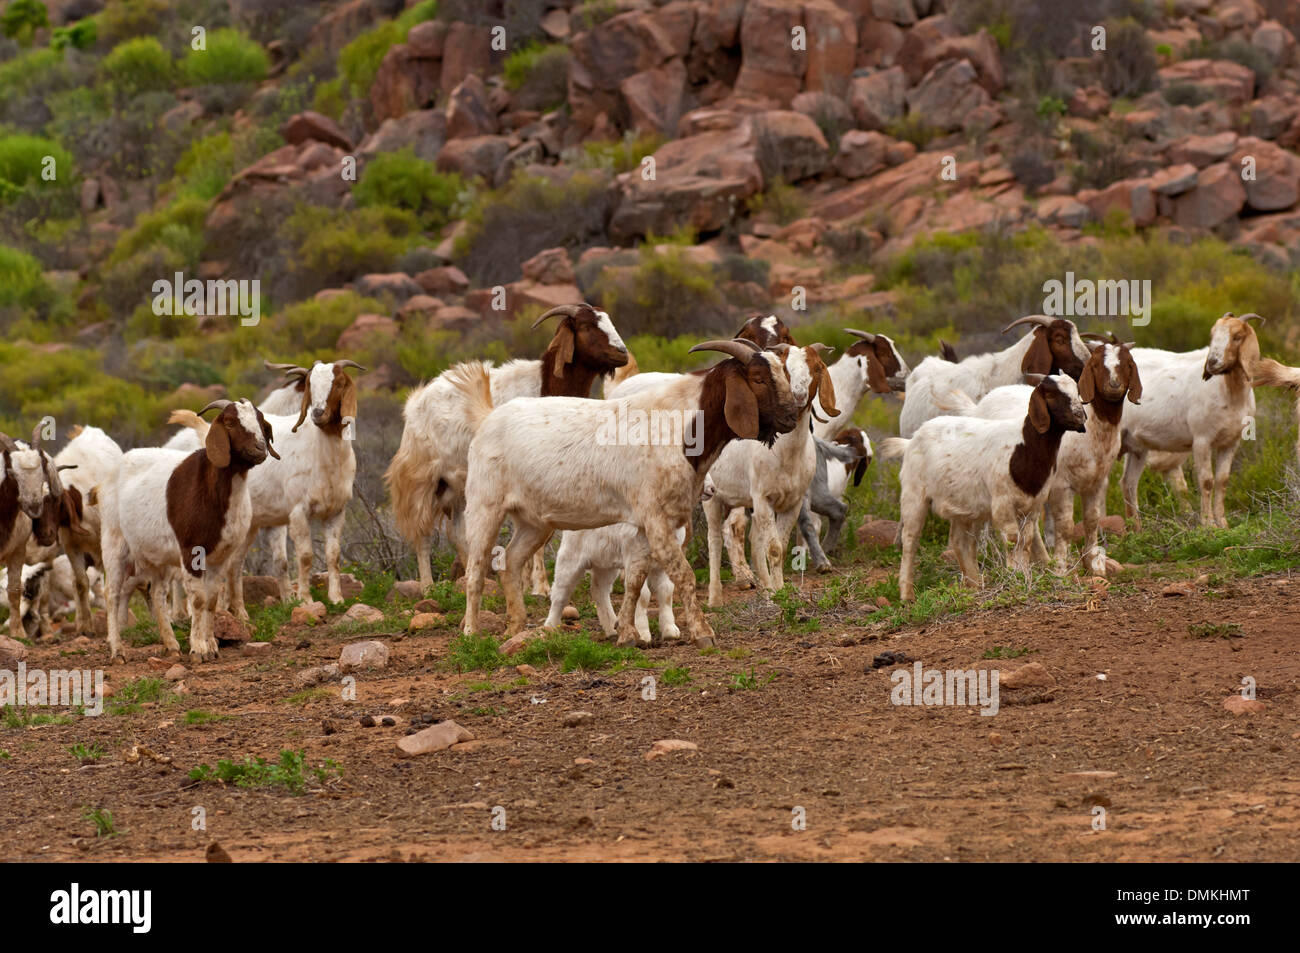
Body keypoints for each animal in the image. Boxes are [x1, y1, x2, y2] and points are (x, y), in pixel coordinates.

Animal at [99, 399, 277, 662]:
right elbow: (199, 600)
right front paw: (199, 648)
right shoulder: (191, 550)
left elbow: (212, 600)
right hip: (113, 540)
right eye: (230, 422)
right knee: (112, 594)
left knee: (158, 594)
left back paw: (171, 645)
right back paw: (117, 650)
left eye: (261, 419)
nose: (260, 448)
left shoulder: (221, 556)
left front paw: (211, 645)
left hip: (157, 555)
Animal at [385, 303, 629, 591]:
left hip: (459, 485)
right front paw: (539, 586)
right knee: (422, 532)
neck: (546, 386)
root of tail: (415, 402)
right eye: (587, 325)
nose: (622, 353)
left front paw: (527, 582)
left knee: (457, 531)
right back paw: (428, 586)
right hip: (424, 480)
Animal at [458, 338, 800, 647]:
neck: (683, 425)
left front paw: (627, 634)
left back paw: (515, 627)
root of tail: (487, 418)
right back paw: (471, 632)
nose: (792, 417)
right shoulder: (657, 518)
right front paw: (703, 633)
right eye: (758, 378)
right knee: (477, 569)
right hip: (484, 506)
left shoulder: (642, 524)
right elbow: (683, 574)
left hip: (535, 522)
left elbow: (636, 580)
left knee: (511, 561)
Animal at [881, 375, 1087, 601]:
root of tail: (910, 441)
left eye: (1077, 391)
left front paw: (1024, 576)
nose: (1080, 416)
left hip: (962, 503)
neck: (1024, 448)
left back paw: (973, 585)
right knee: (910, 539)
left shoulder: (1033, 506)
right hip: (914, 493)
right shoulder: (1002, 503)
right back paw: (907, 594)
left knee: (959, 541)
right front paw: (1013, 576)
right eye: (1051, 394)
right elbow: (1012, 539)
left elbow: (1026, 541)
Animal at [1120, 313, 1262, 528]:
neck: (1229, 393)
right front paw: (1208, 524)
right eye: (1212, 335)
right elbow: (1206, 481)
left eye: (1237, 336)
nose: (1212, 362)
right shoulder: (1202, 439)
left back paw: (1136, 529)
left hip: (1137, 446)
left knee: (1128, 483)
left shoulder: (1231, 442)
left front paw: (1223, 523)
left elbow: (1222, 480)